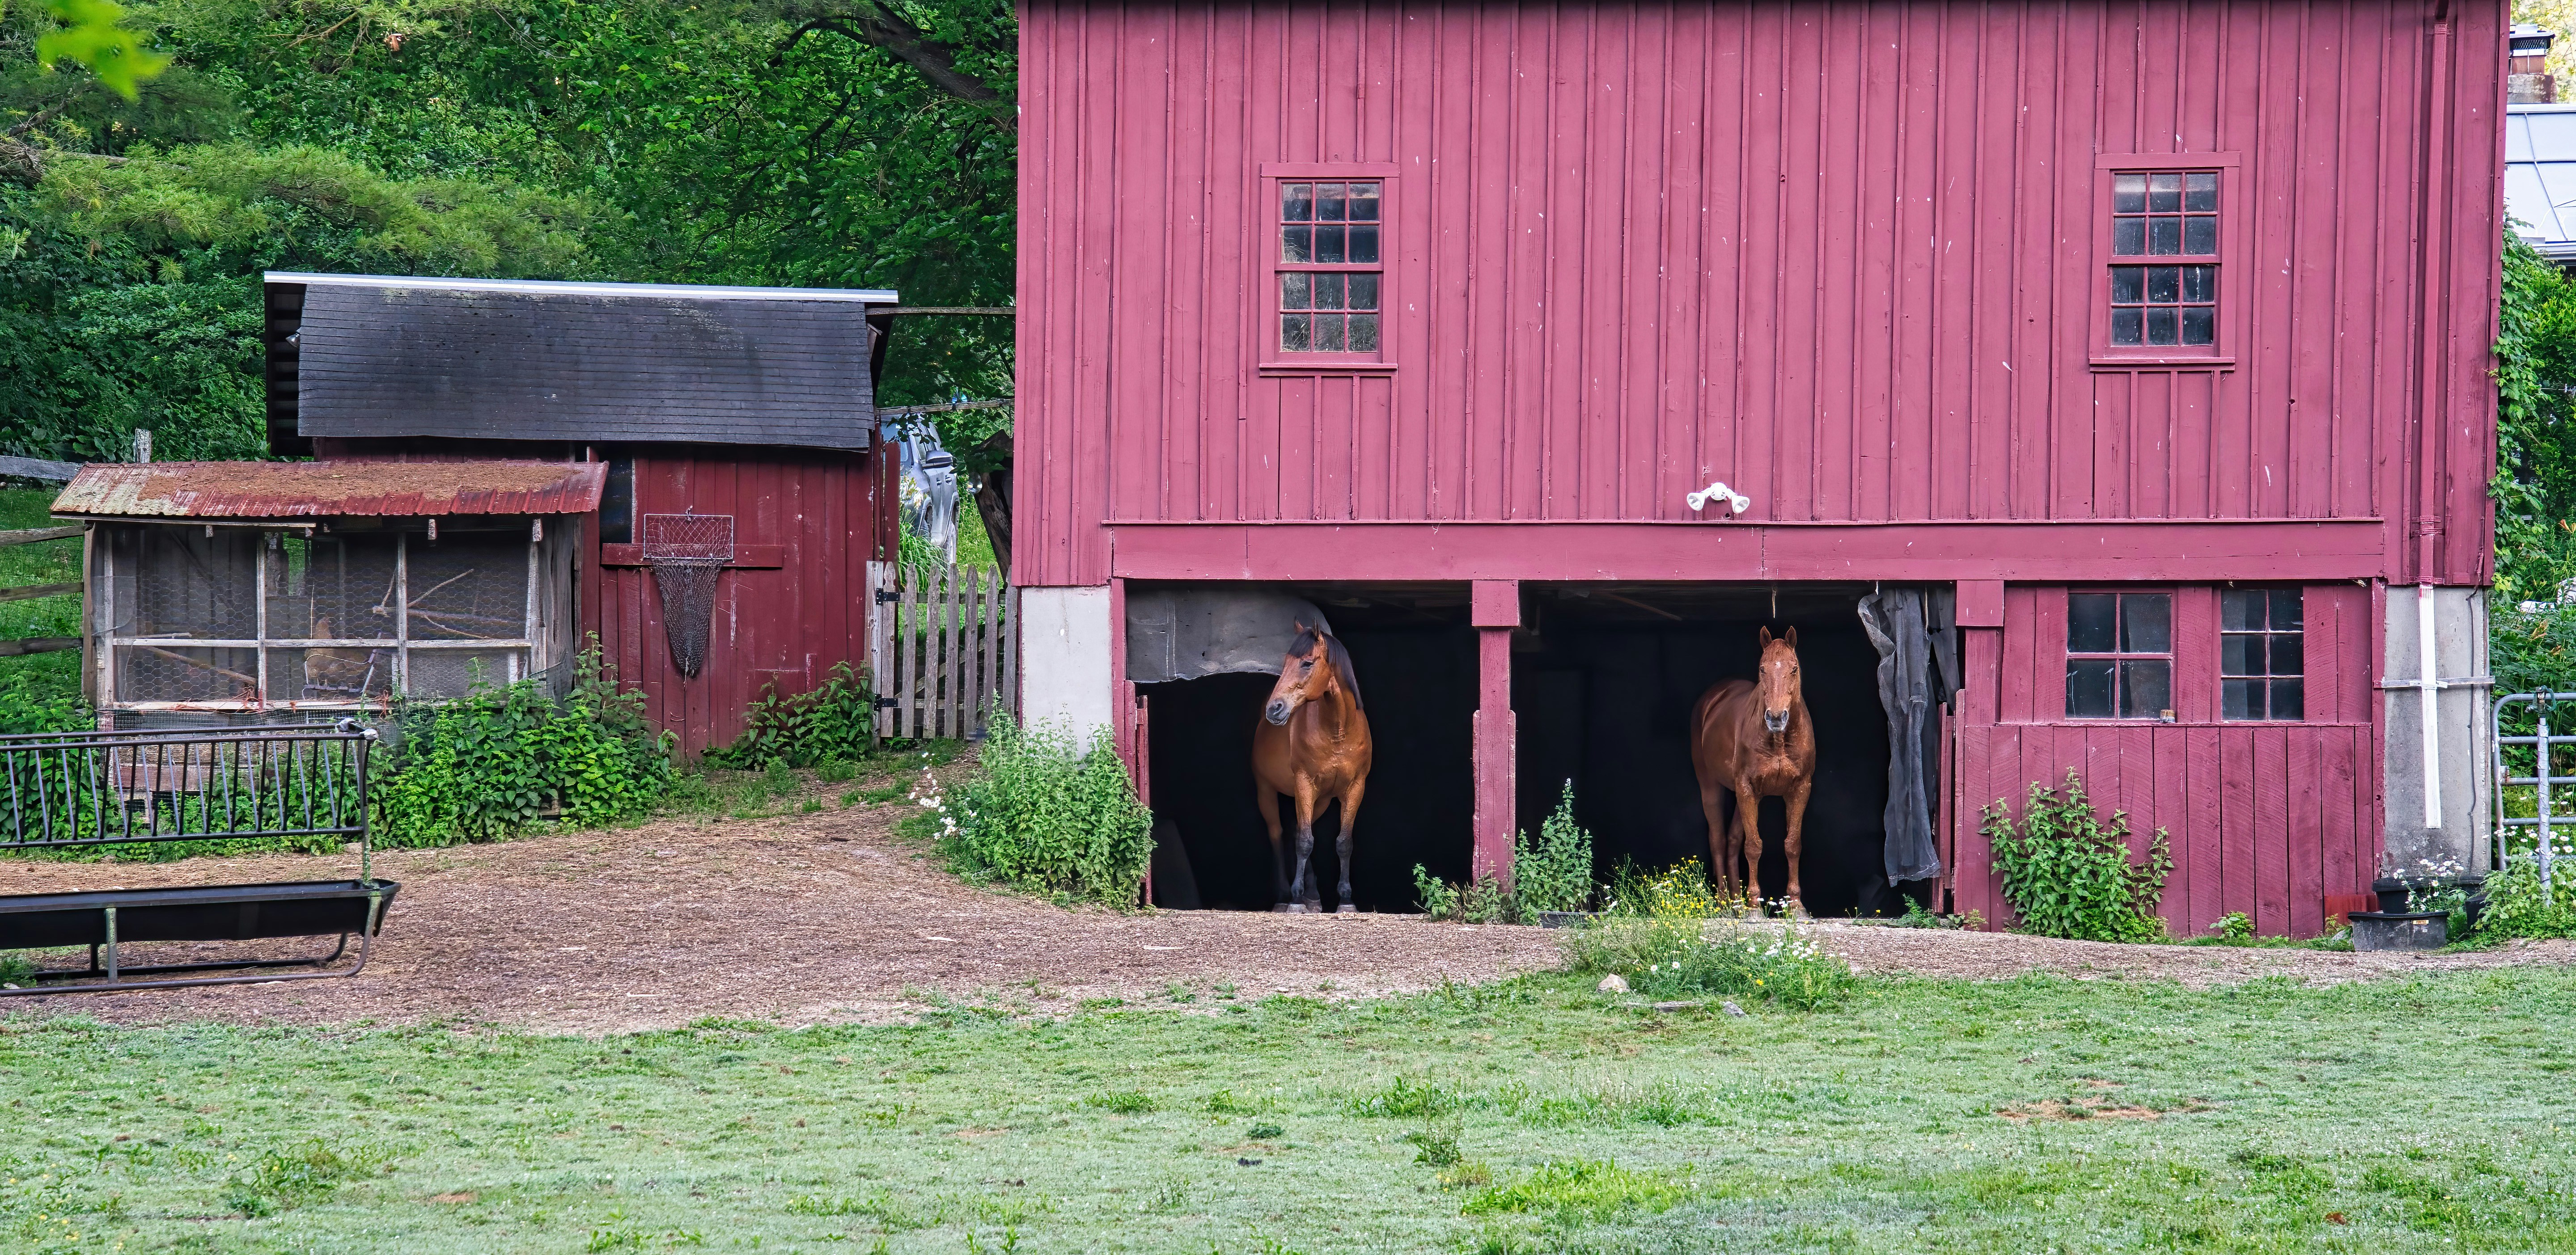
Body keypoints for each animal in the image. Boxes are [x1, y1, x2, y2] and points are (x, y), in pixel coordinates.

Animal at [1252, 622, 1373, 913]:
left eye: (1307, 663)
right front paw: (1296, 901)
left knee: (1297, 829)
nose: (1275, 709)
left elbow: (1344, 843)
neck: (1338, 731)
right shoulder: (1304, 783)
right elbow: (1304, 842)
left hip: (1320, 800)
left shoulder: (1355, 788)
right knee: (1278, 835)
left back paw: (1312, 895)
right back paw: (1286, 896)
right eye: (1285, 662)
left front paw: (1346, 899)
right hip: (1267, 791)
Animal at [1689, 626, 1819, 916]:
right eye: (1762, 668)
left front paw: (1797, 906)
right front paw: (1755, 909)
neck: (1779, 740)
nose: (1776, 718)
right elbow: (1754, 846)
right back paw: (1725, 904)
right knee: (1718, 839)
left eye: (1794, 668)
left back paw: (1738, 902)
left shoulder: (1799, 789)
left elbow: (1793, 845)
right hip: (1711, 786)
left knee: (1733, 840)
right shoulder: (1746, 787)